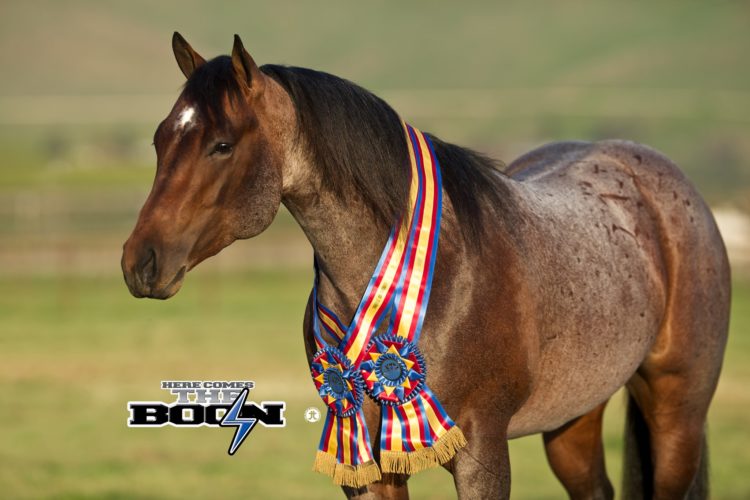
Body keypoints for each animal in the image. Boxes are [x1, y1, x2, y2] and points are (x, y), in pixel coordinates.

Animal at [122, 33, 730, 499]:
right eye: (159, 139)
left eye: (222, 145)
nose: (139, 263)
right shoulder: (365, 461)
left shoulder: (482, 454)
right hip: (573, 419)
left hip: (677, 410)